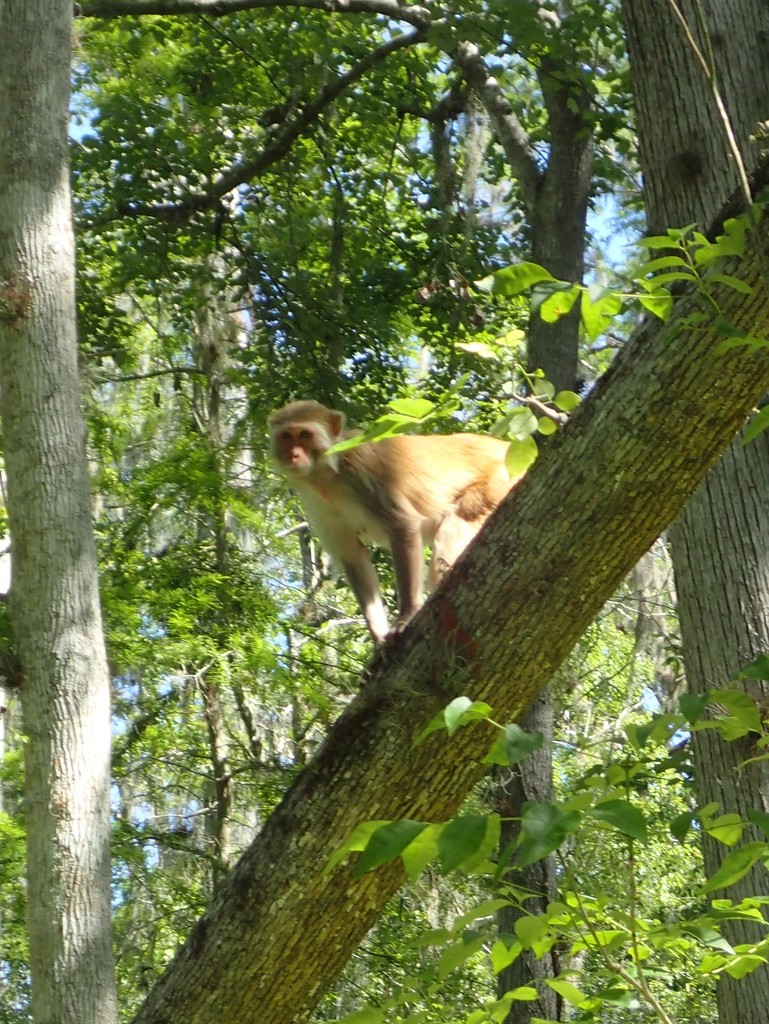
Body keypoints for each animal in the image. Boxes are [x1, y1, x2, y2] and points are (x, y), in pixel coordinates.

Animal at [268, 399, 518, 643]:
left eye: (304, 435)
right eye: (286, 437)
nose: (294, 455)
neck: (328, 472)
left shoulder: (361, 468)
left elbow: (402, 525)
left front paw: (406, 616)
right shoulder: (316, 503)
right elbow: (353, 556)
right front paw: (378, 638)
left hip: (499, 481)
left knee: (457, 521)